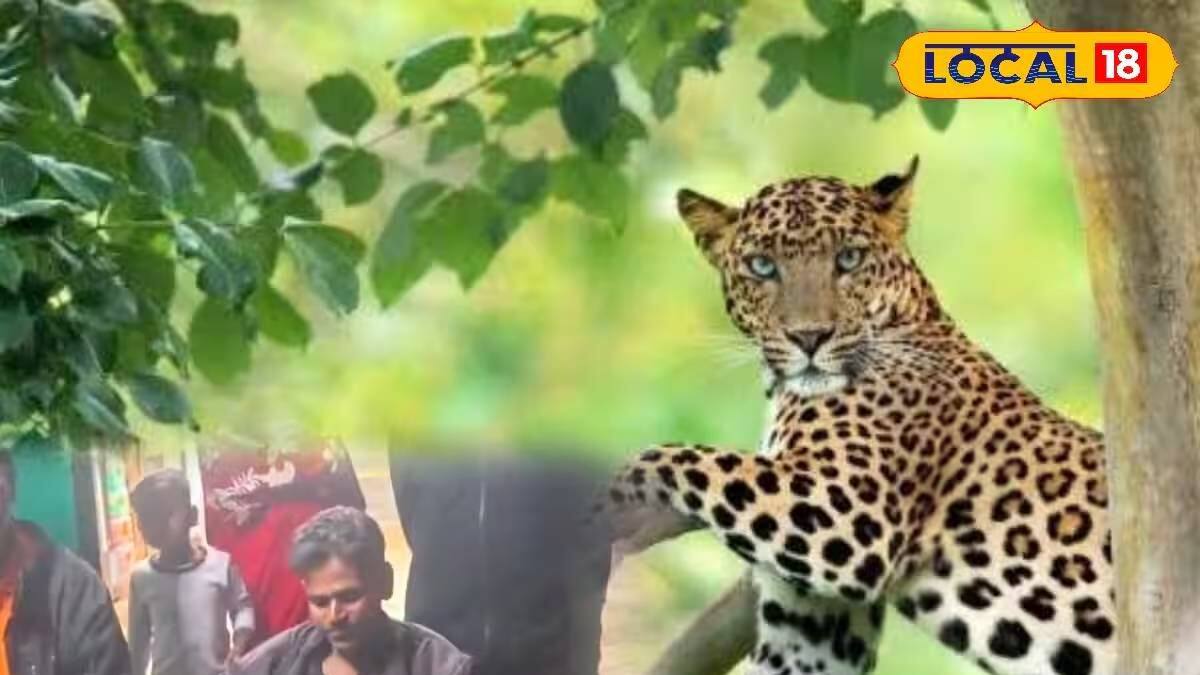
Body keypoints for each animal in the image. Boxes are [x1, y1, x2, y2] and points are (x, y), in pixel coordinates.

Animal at [604, 159, 1114, 675]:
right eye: (762, 266)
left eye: (848, 259)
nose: (810, 337)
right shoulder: (812, 630)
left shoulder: (851, 505)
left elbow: (687, 458)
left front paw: (610, 491)